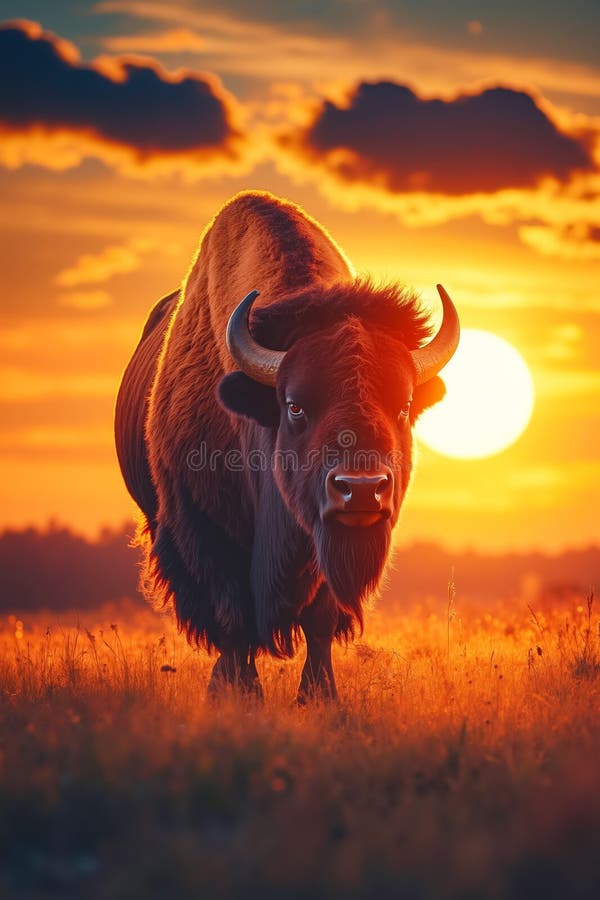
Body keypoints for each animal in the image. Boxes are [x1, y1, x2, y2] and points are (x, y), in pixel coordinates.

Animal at [115, 191, 459, 701]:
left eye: (403, 406)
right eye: (295, 406)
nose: (361, 490)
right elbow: (233, 620)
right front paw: (237, 695)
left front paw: (319, 695)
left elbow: (319, 621)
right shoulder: (208, 533)